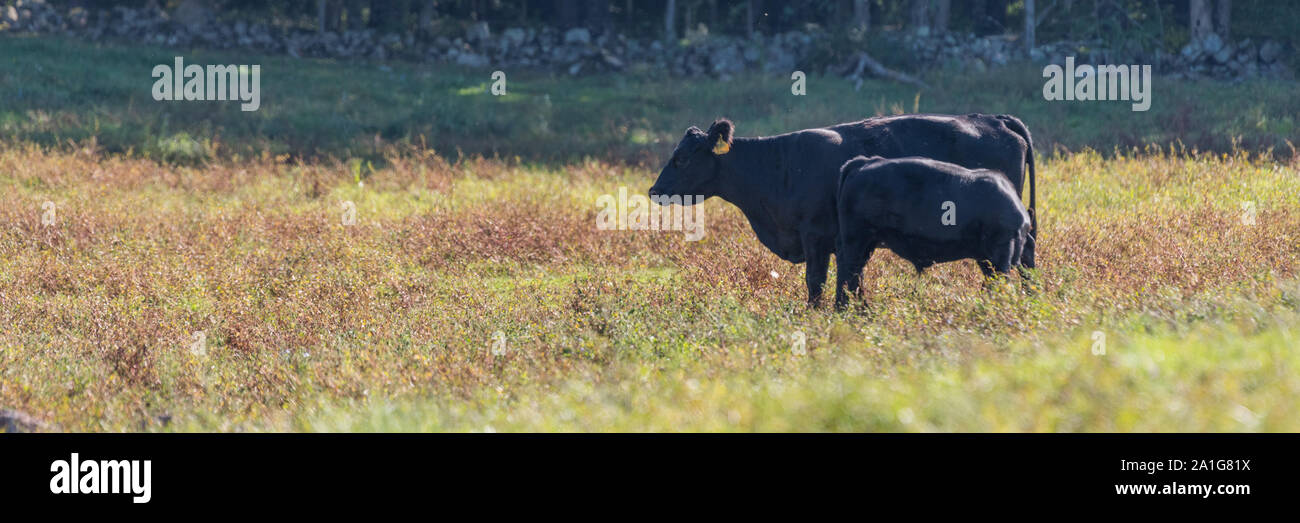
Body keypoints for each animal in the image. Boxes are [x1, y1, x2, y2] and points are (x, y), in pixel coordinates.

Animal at [834, 156, 1032, 309]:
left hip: (865, 243)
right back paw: (850, 309)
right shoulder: (1000, 256)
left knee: (854, 272)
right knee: (849, 271)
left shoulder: (986, 259)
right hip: (856, 239)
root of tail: (863, 163)